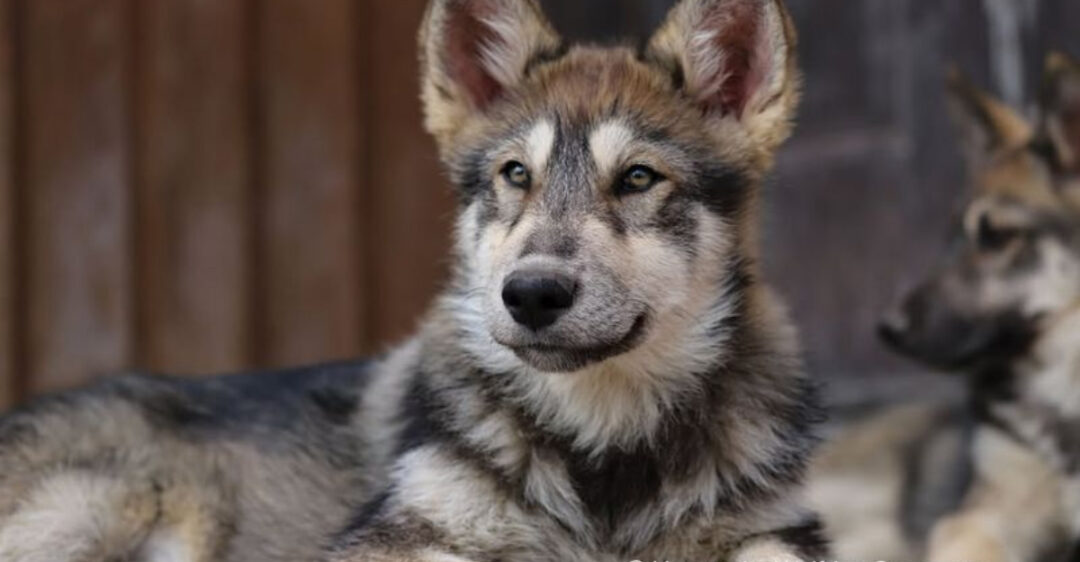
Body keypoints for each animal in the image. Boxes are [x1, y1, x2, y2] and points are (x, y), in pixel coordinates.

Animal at [0, 1, 827, 560]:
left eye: (638, 179)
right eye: (515, 175)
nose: (530, 295)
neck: (601, 445)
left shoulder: (781, 526)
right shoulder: (393, 530)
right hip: (95, 503)